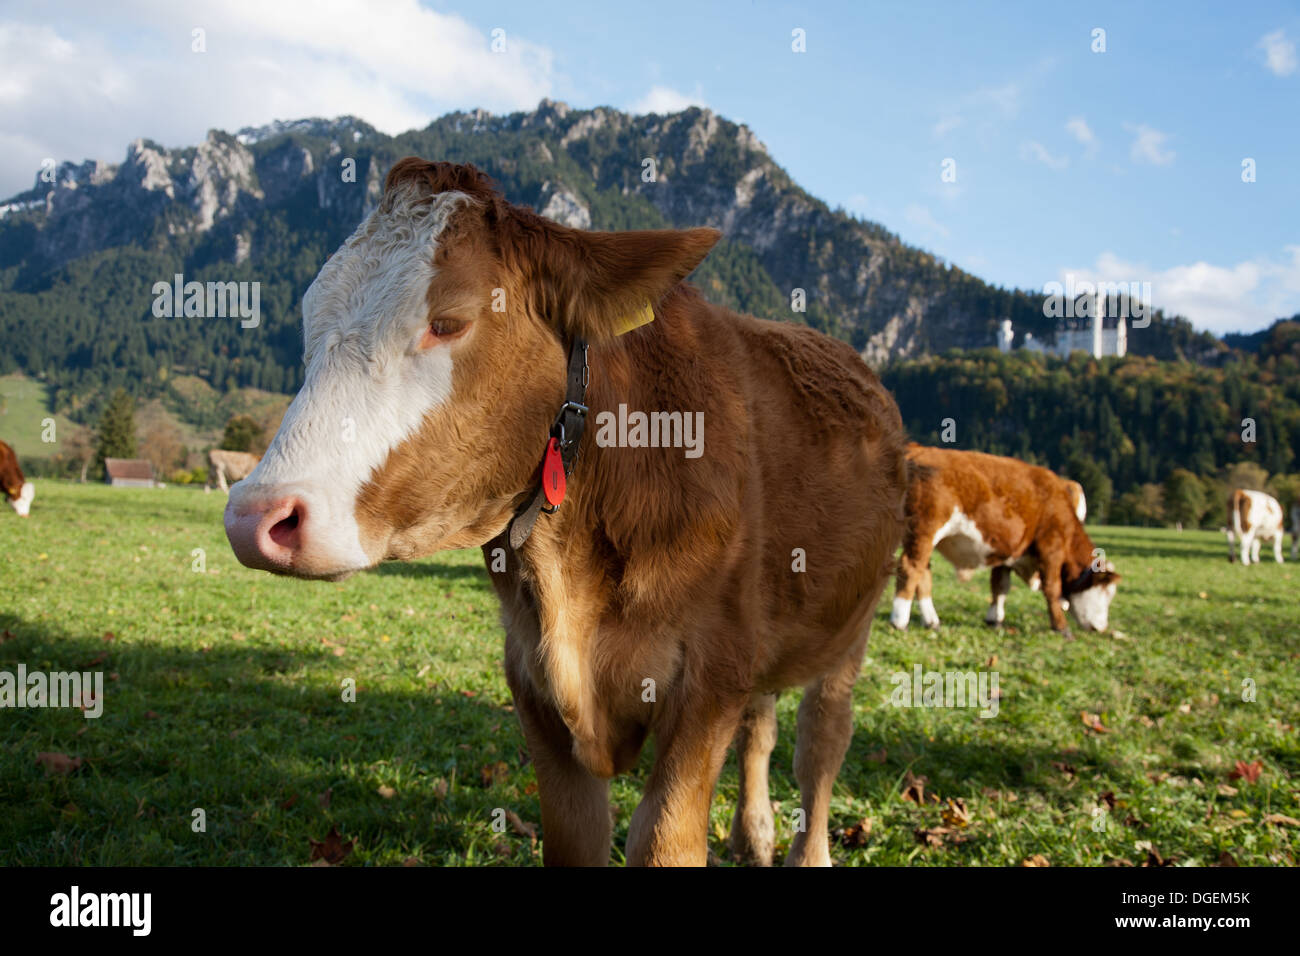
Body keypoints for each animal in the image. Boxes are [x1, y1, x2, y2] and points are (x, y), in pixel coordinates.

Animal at [223, 159, 909, 867]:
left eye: (449, 322)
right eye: (309, 322)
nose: (255, 517)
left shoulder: (711, 677)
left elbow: (664, 839)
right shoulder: (530, 678)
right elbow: (577, 835)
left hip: (852, 628)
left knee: (819, 747)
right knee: (763, 726)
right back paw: (754, 832)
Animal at [892, 444, 1119, 635]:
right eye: (1108, 594)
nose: (1102, 628)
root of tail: (916, 449)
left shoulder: (1008, 550)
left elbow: (1000, 586)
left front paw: (995, 619)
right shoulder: (1052, 548)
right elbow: (1052, 588)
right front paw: (1061, 627)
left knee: (923, 573)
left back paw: (931, 621)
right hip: (924, 531)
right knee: (910, 568)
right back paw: (899, 620)